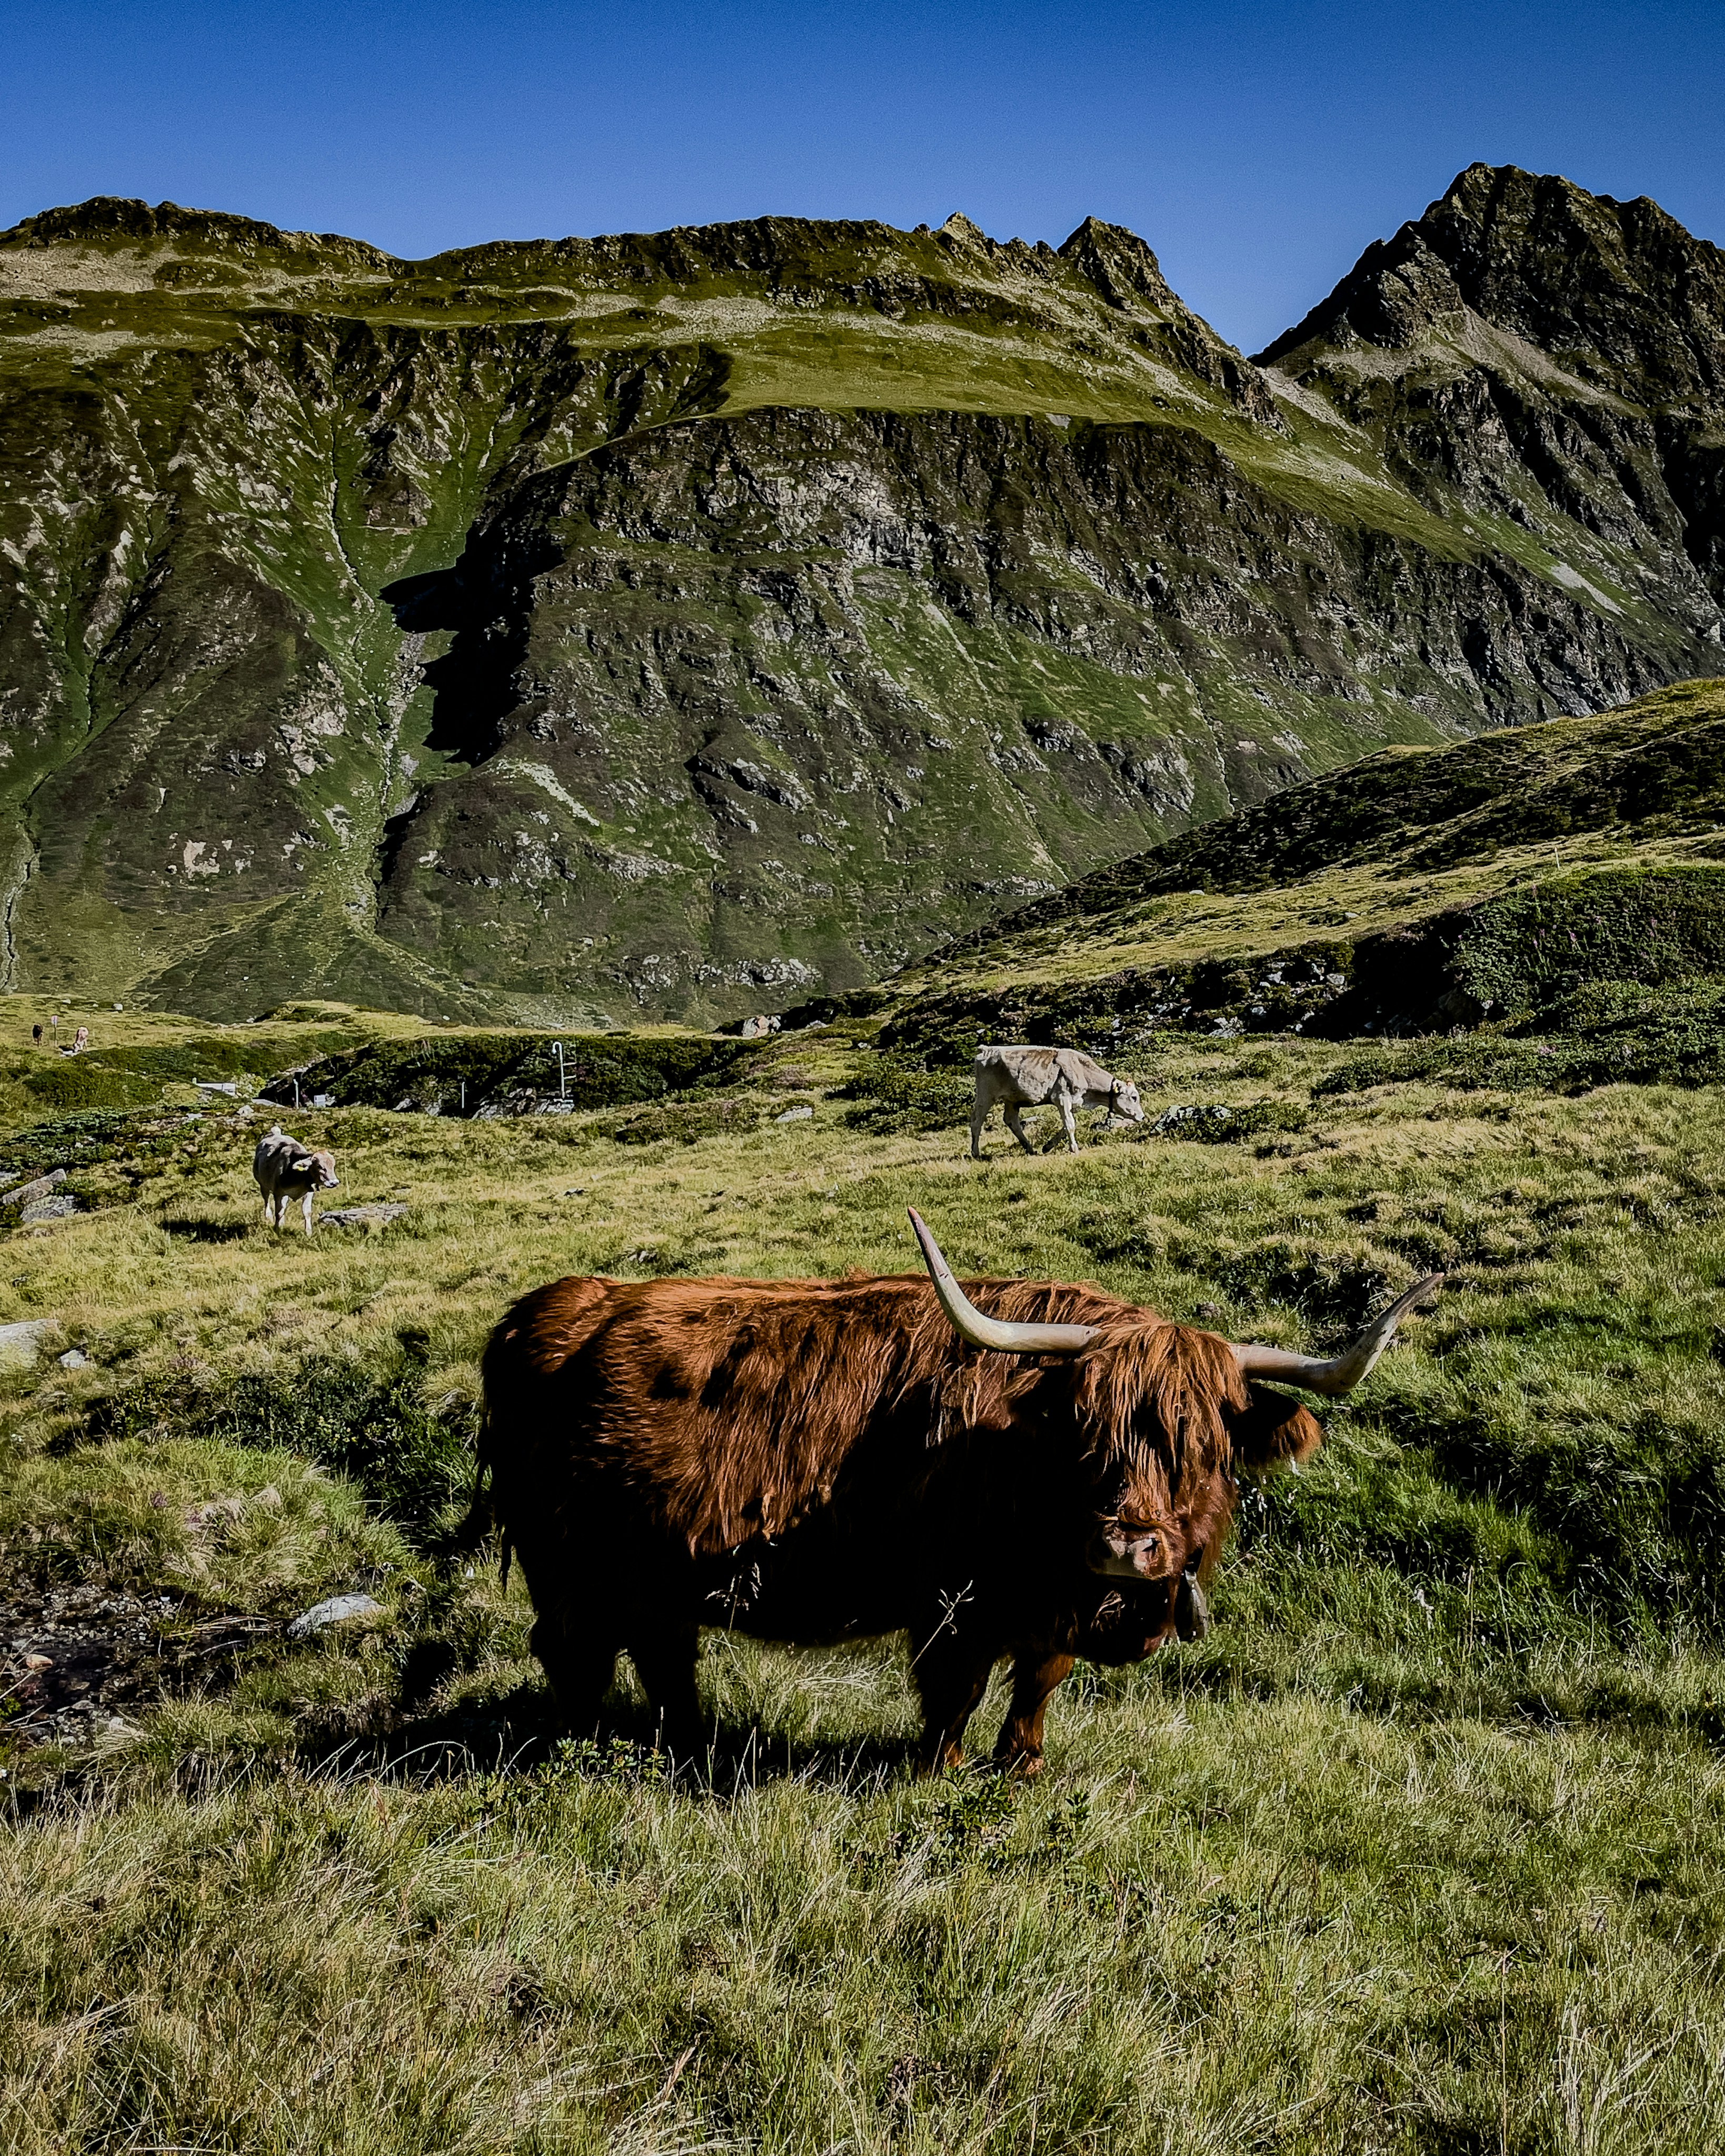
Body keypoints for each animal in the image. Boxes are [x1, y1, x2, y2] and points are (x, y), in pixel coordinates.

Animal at [252, 1125, 339, 1234]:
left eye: (333, 1165)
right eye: (319, 1166)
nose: (334, 1183)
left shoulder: (309, 1192)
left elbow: (307, 1212)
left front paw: (308, 1233)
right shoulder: (278, 1193)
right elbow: (278, 1212)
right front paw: (277, 1230)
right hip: (263, 1185)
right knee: (267, 1200)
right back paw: (269, 1217)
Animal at [475, 1208, 1439, 1776]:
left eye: (1201, 1446)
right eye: (1085, 1429)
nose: (1127, 1545)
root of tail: (558, 1307)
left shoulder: (1054, 1609)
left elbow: (1038, 1683)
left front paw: (1021, 1767)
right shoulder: (954, 1600)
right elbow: (955, 1692)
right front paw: (937, 1773)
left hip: (652, 1570)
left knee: (660, 1652)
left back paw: (688, 1746)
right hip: (565, 1563)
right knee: (576, 1651)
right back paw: (584, 1748)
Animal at [971, 1045, 1144, 1159]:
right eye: (1134, 1097)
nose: (1142, 1117)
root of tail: (986, 1049)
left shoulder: (1074, 1103)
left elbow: (1066, 1126)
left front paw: (1047, 1147)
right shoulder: (1061, 1097)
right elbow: (1070, 1124)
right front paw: (1074, 1149)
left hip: (1012, 1100)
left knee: (1011, 1121)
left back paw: (1030, 1149)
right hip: (985, 1095)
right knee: (977, 1121)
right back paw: (975, 1153)